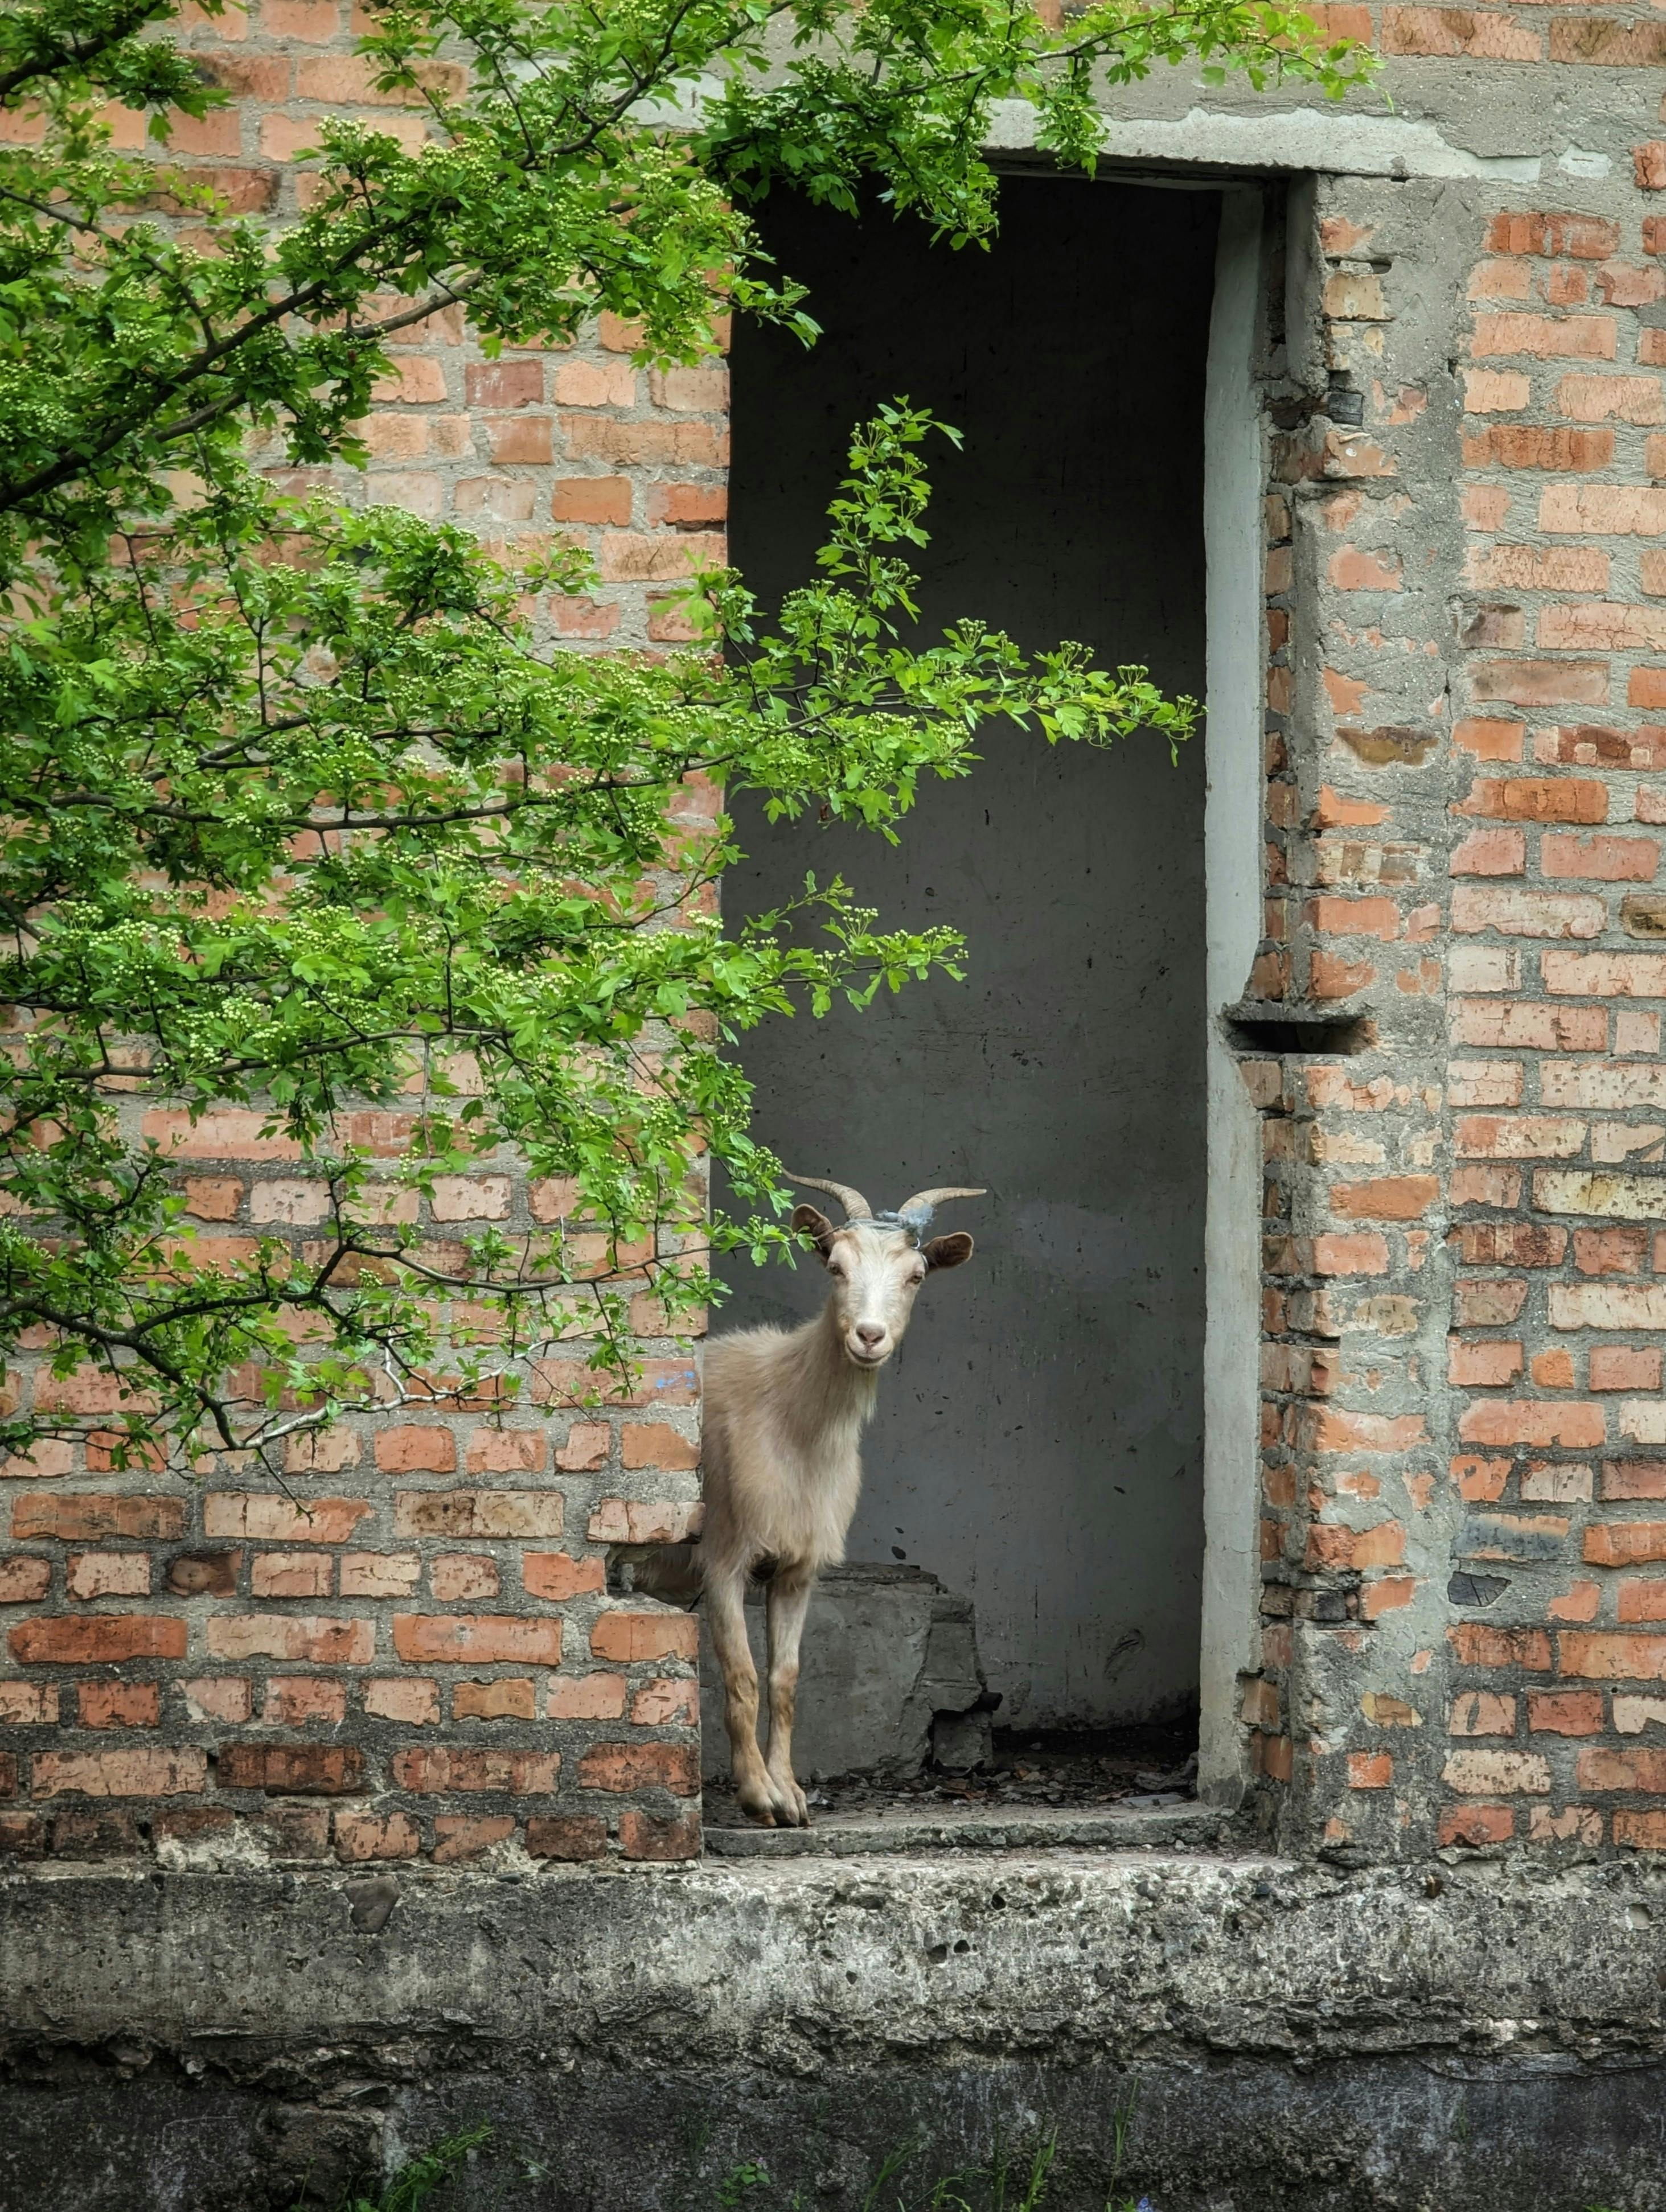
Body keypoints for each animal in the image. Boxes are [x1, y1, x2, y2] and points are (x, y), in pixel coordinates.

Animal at [693, 1171, 984, 1828]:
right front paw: (758, 1795)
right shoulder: (723, 1556)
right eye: (835, 1266)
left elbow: (784, 1680)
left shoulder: (797, 1569)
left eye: (917, 1275)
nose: (869, 1336)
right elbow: (743, 1677)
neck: (790, 1419)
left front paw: (791, 1795)